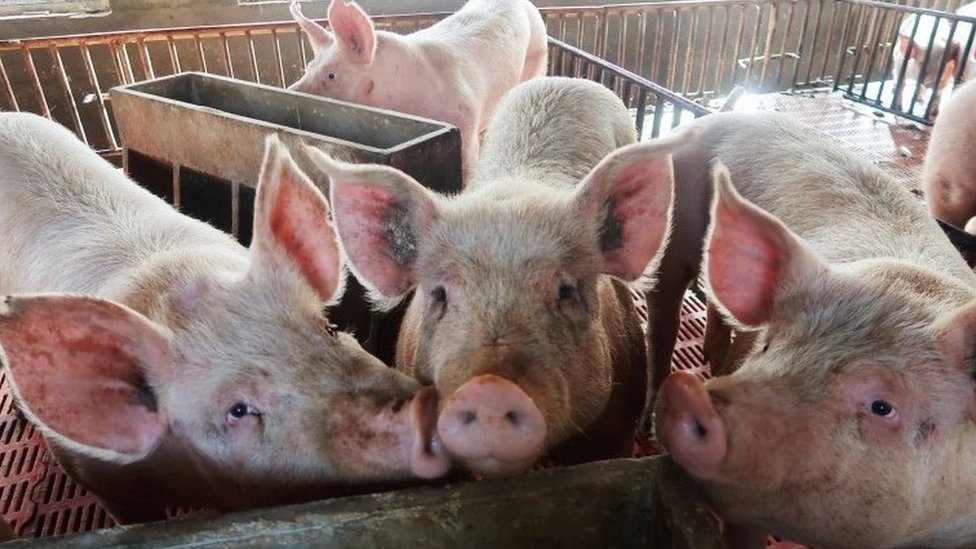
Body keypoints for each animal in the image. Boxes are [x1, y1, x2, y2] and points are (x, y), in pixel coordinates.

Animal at [651, 111, 976, 549]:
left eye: (882, 406)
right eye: (769, 345)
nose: (691, 393)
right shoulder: (746, 507)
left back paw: (713, 358)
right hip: (674, 221)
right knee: (664, 309)